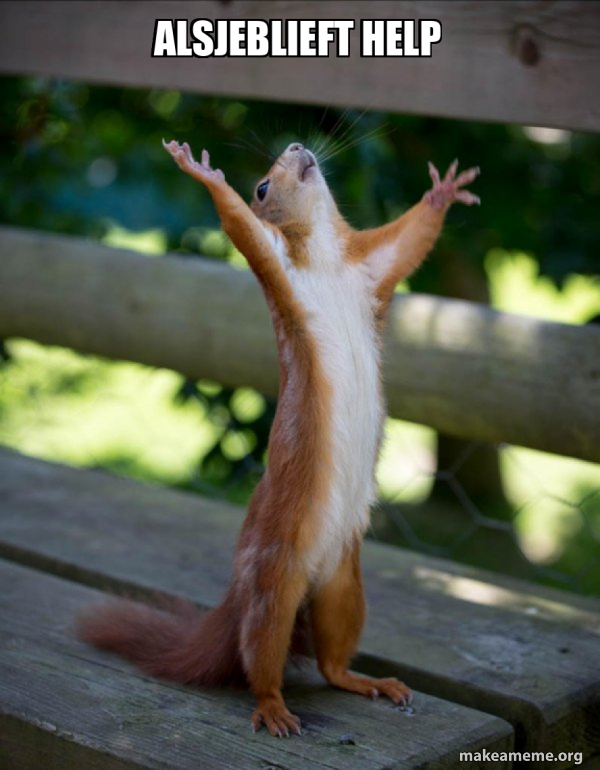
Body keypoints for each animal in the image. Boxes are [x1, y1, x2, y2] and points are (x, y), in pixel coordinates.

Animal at [77, 138, 479, 738]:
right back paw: (273, 708)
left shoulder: (372, 267)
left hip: (344, 586)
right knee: (260, 658)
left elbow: (409, 240)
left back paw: (368, 681)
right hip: (274, 585)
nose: (296, 147)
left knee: (332, 661)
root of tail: (239, 595)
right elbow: (240, 226)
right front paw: (204, 174)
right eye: (262, 186)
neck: (327, 257)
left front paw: (443, 192)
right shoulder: (277, 266)